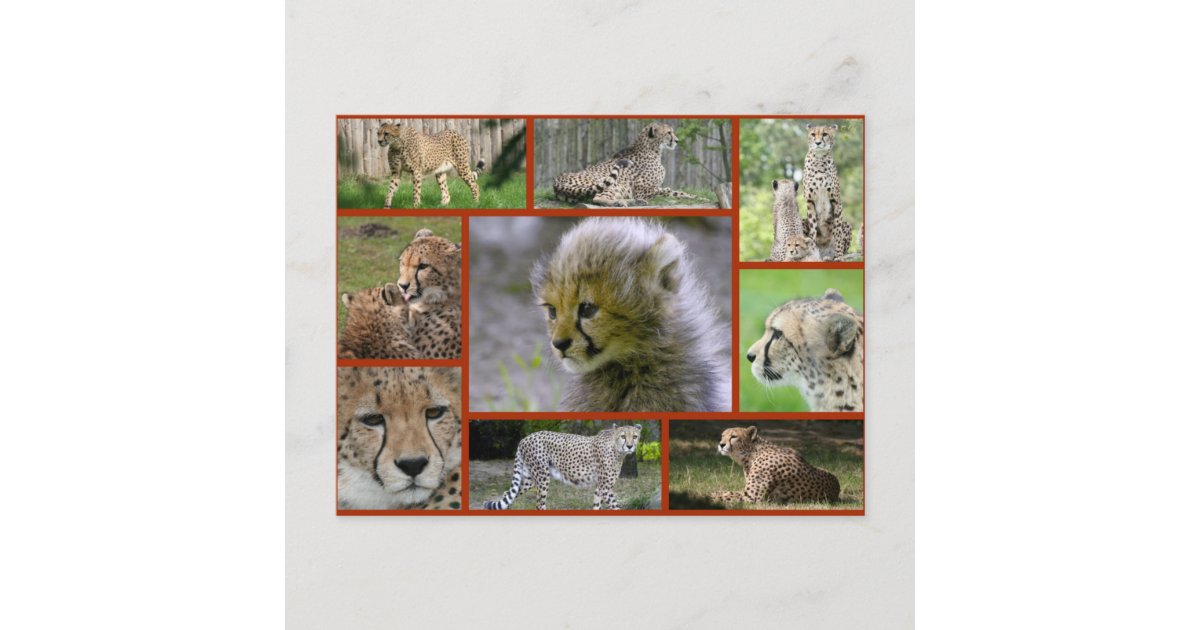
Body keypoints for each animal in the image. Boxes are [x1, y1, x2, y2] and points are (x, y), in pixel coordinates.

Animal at [483, 424, 641, 510]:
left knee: (507, 494)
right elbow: (615, 506)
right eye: (623, 436)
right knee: (539, 504)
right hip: (542, 477)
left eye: (635, 436)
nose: (629, 446)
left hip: (529, 479)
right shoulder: (605, 487)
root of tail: (525, 438)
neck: (617, 449)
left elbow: (597, 506)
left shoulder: (600, 487)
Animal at [552, 122, 710, 207]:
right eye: (669, 133)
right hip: (614, 183)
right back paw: (622, 202)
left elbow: (679, 192)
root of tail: (557, 180)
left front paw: (703, 198)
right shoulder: (642, 190)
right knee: (597, 198)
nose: (677, 140)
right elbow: (664, 191)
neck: (654, 150)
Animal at [709, 426, 840, 505]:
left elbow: (723, 495)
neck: (752, 454)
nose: (721, 444)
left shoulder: (751, 497)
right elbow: (722, 492)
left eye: (734, 436)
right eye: (722, 435)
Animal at [802, 124, 853, 260]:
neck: (819, 159)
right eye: (813, 134)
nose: (818, 143)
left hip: (847, 224)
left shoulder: (836, 201)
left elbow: (838, 232)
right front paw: (812, 252)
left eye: (825, 134)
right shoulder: (809, 201)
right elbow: (813, 230)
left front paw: (839, 255)